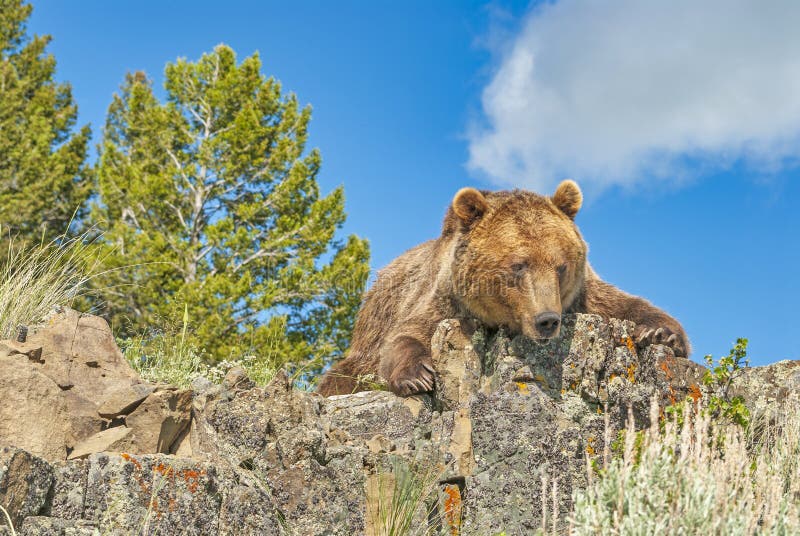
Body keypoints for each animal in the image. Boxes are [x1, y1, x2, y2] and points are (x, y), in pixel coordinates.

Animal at [317, 180, 689, 397]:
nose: (547, 320)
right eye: (518, 266)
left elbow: (621, 303)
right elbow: (406, 334)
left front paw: (663, 333)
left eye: (561, 266)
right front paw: (417, 376)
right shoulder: (445, 302)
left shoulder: (580, 296)